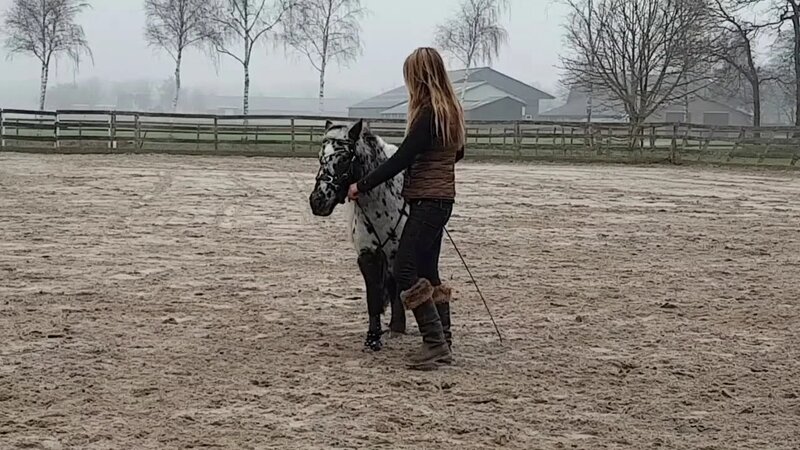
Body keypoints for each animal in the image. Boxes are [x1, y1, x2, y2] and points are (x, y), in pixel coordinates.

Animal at [308, 118, 410, 351]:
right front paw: (373, 338)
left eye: (345, 158)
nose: (318, 201)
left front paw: (397, 327)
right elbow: (373, 295)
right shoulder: (367, 255)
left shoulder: (397, 252)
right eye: (320, 157)